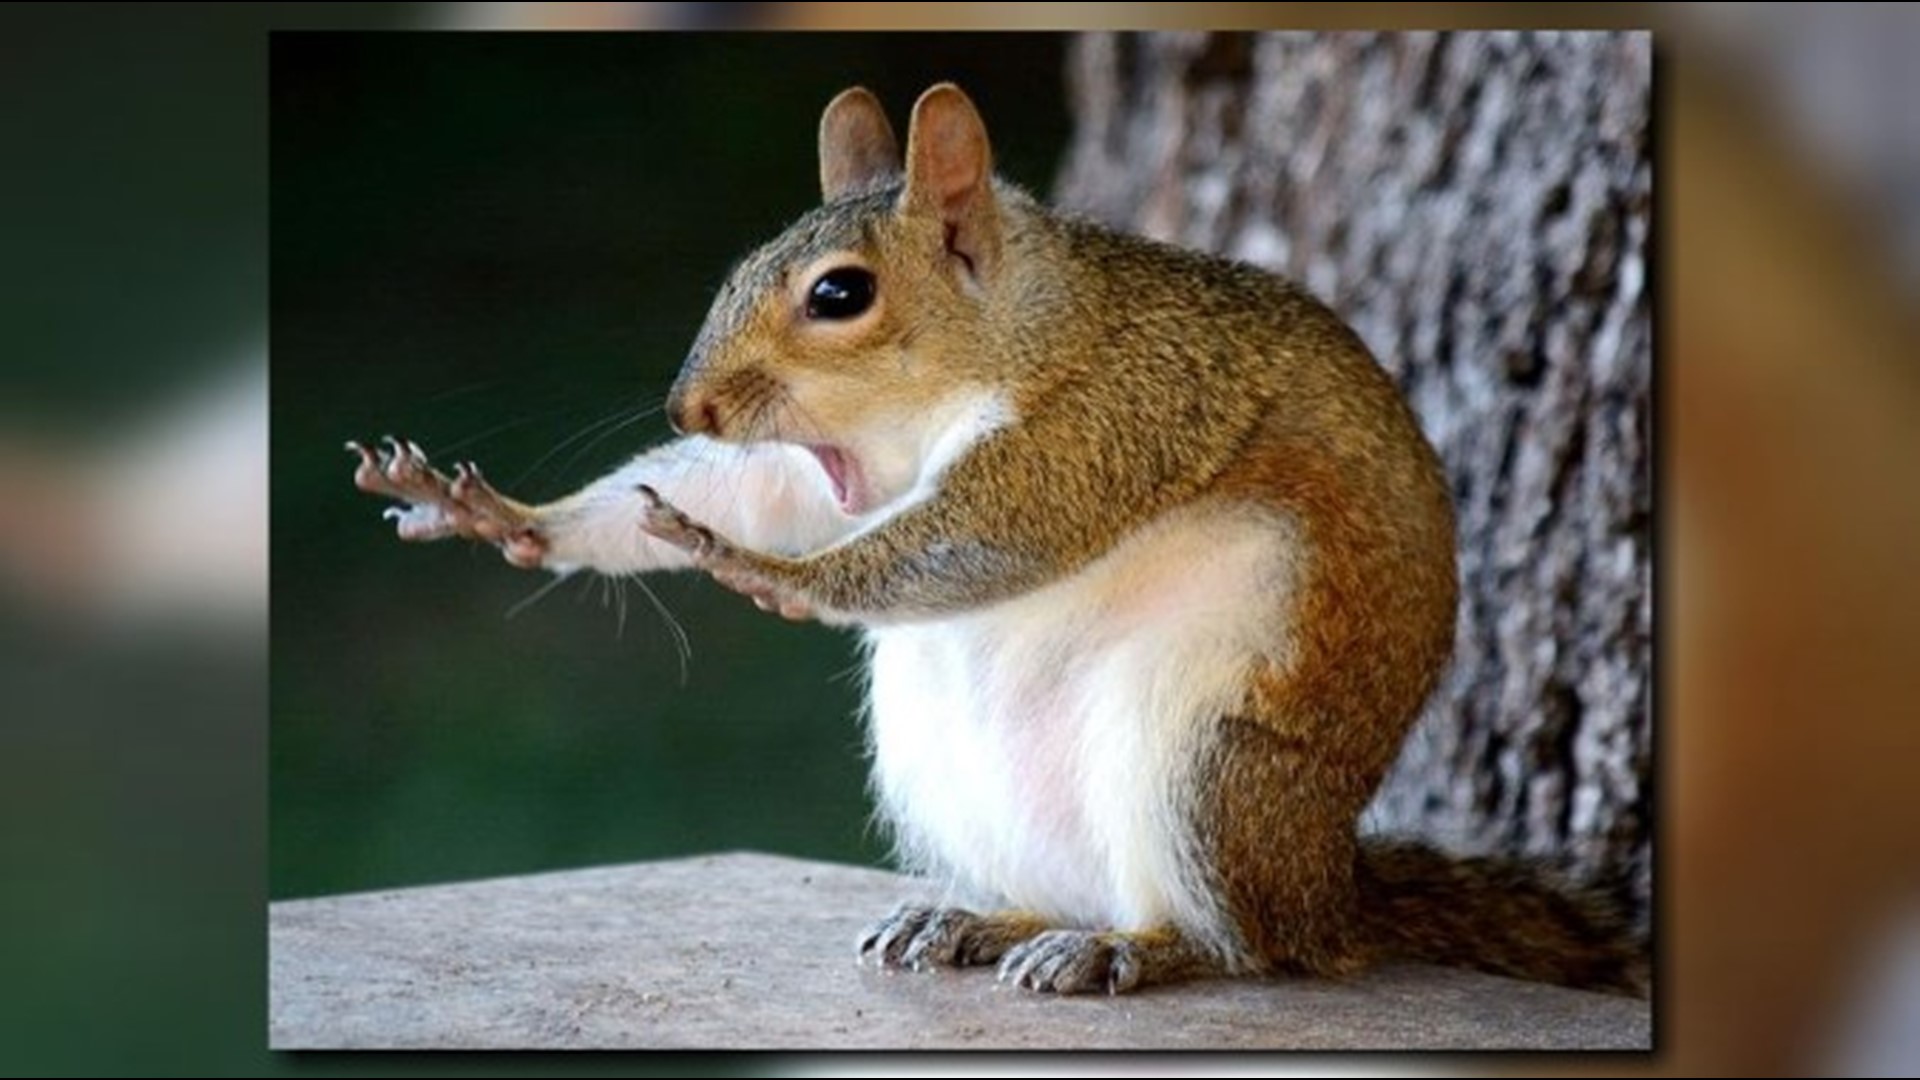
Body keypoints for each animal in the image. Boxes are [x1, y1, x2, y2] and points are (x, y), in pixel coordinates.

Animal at [348, 83, 1645, 996]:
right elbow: (757, 492)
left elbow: (989, 533)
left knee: (1250, 947)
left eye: (839, 294)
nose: (692, 409)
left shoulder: (1120, 412)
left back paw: (1137, 951)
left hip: (1207, 769)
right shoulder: (831, 468)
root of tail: (1332, 892)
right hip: (957, 773)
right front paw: (508, 516)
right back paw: (978, 918)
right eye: (743, 266)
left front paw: (767, 572)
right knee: (1067, 895)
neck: (1017, 333)